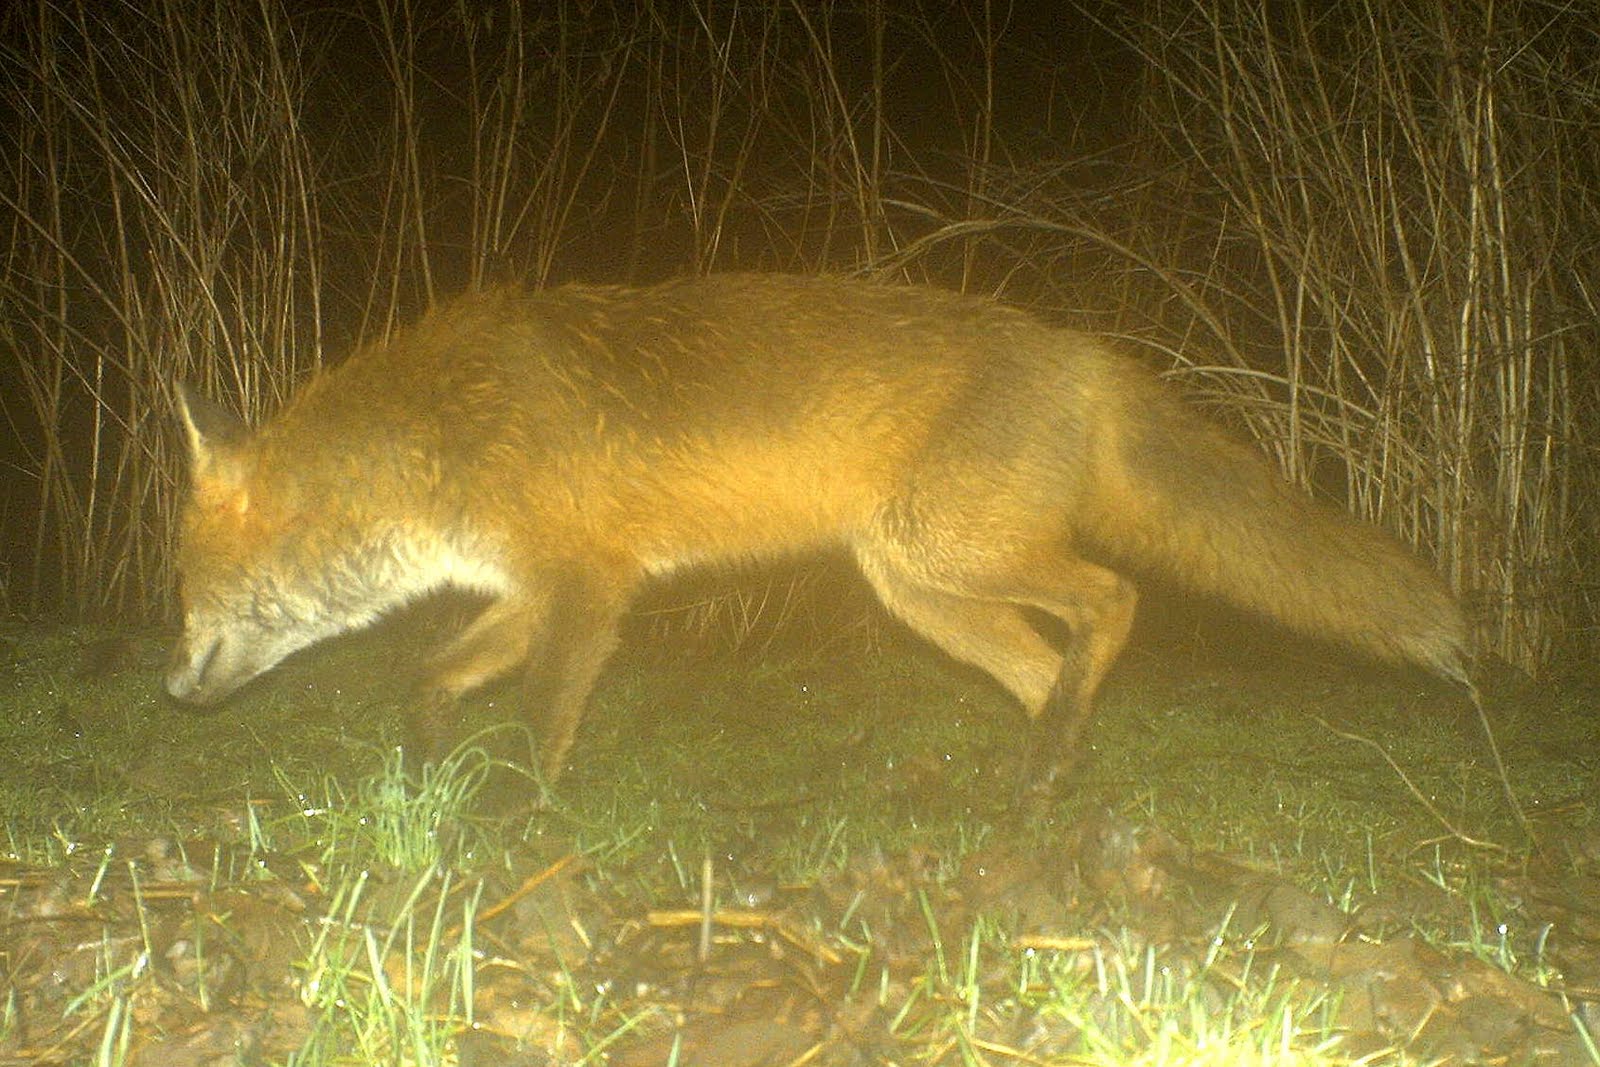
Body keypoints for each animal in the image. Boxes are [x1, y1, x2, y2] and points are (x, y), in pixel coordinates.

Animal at [166, 273, 1470, 793]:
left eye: (184, 587)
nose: (170, 686)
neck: (444, 434)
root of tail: (1079, 350)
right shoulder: (533, 586)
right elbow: (430, 674)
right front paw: (431, 771)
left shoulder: (588, 584)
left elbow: (542, 715)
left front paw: (518, 817)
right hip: (922, 587)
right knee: (1049, 663)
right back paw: (1044, 775)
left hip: (945, 555)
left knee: (1114, 599)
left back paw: (1048, 760)